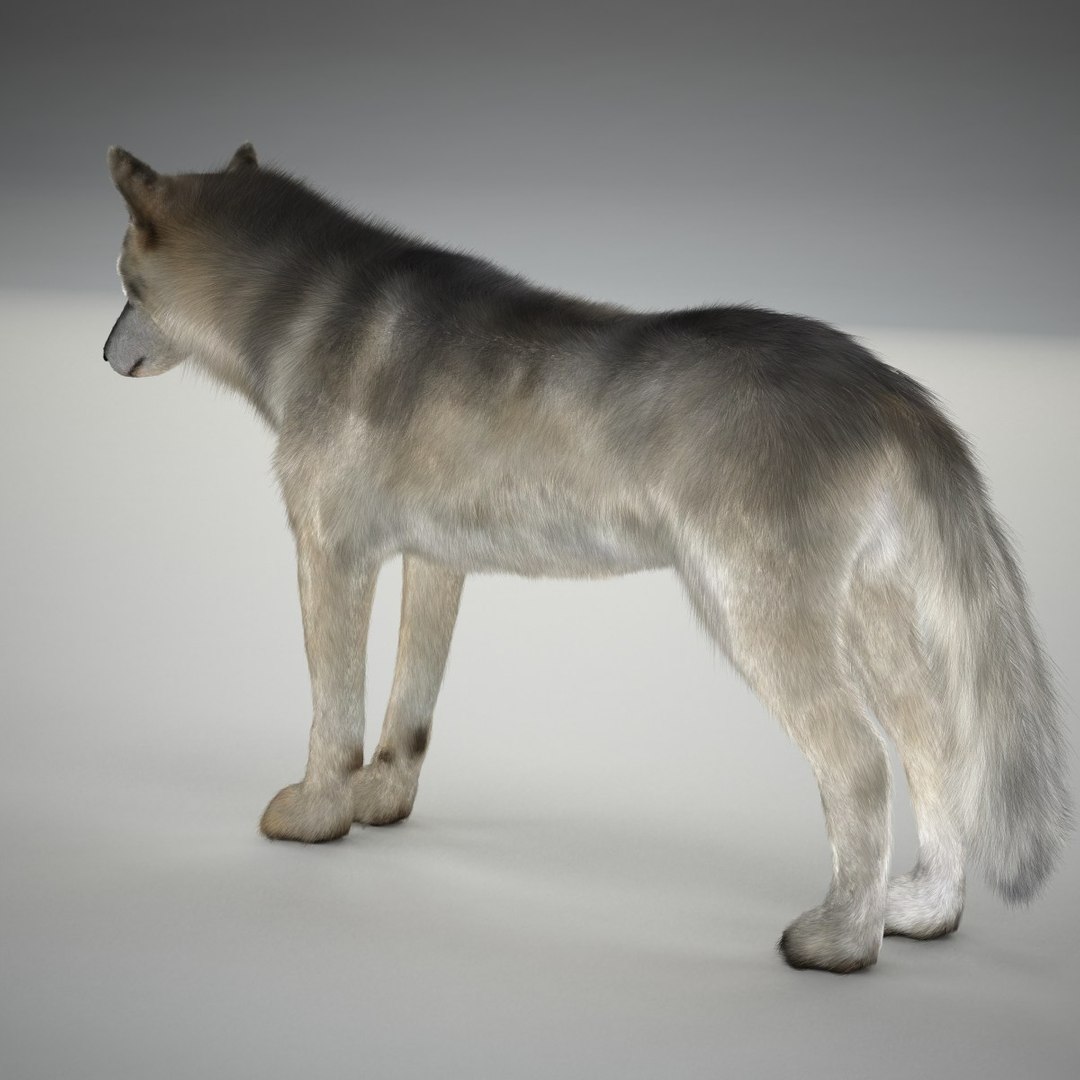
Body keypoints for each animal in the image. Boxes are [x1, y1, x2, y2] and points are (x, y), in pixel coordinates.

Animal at [104, 143, 1071, 973]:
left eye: (123, 282)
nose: (105, 354)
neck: (309, 305)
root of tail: (887, 381)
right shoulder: (434, 559)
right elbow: (410, 707)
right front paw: (382, 800)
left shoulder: (331, 550)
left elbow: (331, 710)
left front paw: (314, 814)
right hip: (870, 612)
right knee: (934, 743)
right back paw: (924, 912)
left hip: (756, 610)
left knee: (861, 764)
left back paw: (841, 940)